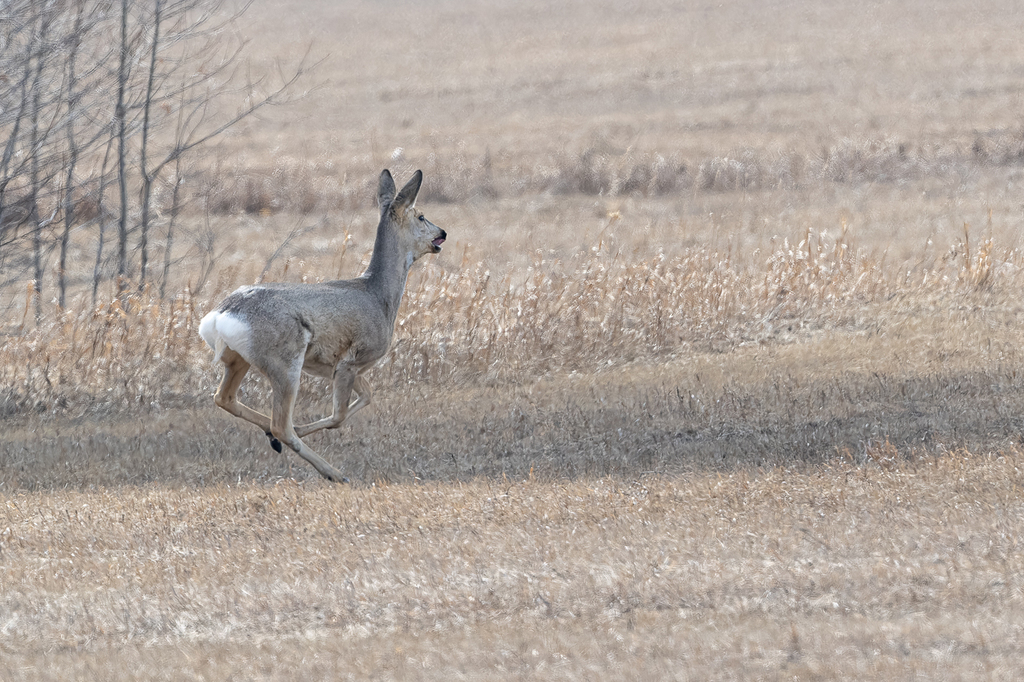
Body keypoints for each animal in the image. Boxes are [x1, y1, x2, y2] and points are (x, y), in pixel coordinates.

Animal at [198, 169, 446, 482]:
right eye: (421, 216)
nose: (443, 233)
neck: (378, 296)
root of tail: (219, 316)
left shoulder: (338, 367)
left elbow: (368, 396)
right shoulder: (352, 359)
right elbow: (340, 416)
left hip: (238, 359)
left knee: (224, 398)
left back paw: (273, 436)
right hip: (284, 361)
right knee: (281, 423)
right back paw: (333, 472)